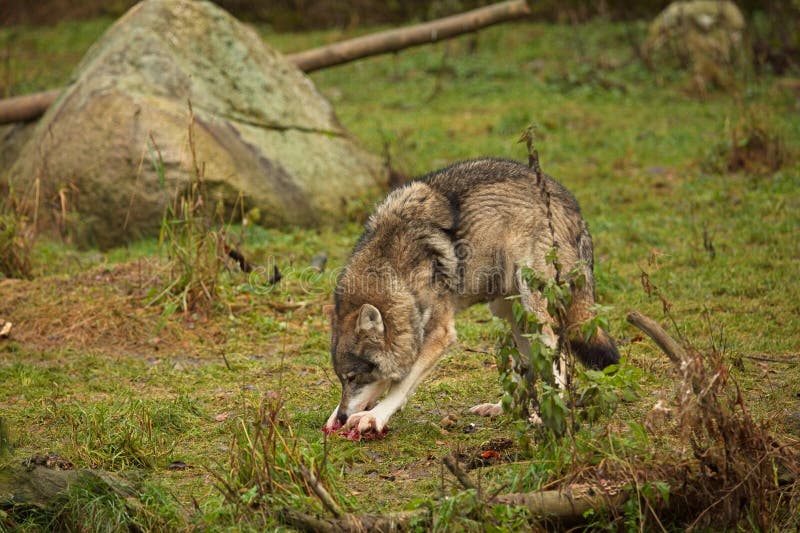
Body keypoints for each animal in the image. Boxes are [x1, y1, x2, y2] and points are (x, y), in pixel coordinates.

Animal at [325, 158, 619, 436]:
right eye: (342, 379)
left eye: (353, 377)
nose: (342, 418)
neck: (395, 267)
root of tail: (573, 206)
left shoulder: (440, 335)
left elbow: (401, 385)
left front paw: (375, 416)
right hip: (505, 309)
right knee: (528, 362)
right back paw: (503, 408)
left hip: (532, 303)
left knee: (558, 354)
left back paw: (546, 413)